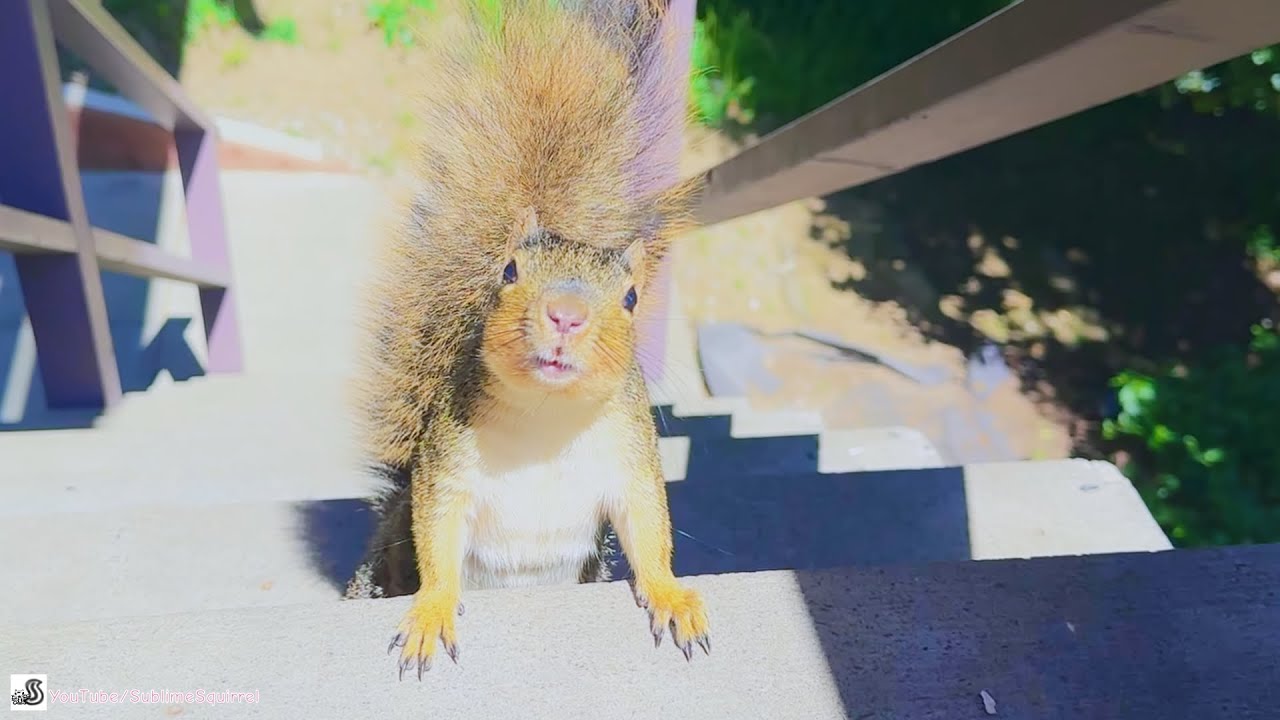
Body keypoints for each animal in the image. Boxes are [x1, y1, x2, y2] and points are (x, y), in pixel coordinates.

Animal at [341, 0, 708, 679]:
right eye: (509, 271)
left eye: (631, 297)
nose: (565, 314)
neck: (546, 417)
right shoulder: (446, 463)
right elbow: (437, 538)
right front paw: (432, 611)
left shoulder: (629, 459)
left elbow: (649, 528)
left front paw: (671, 595)